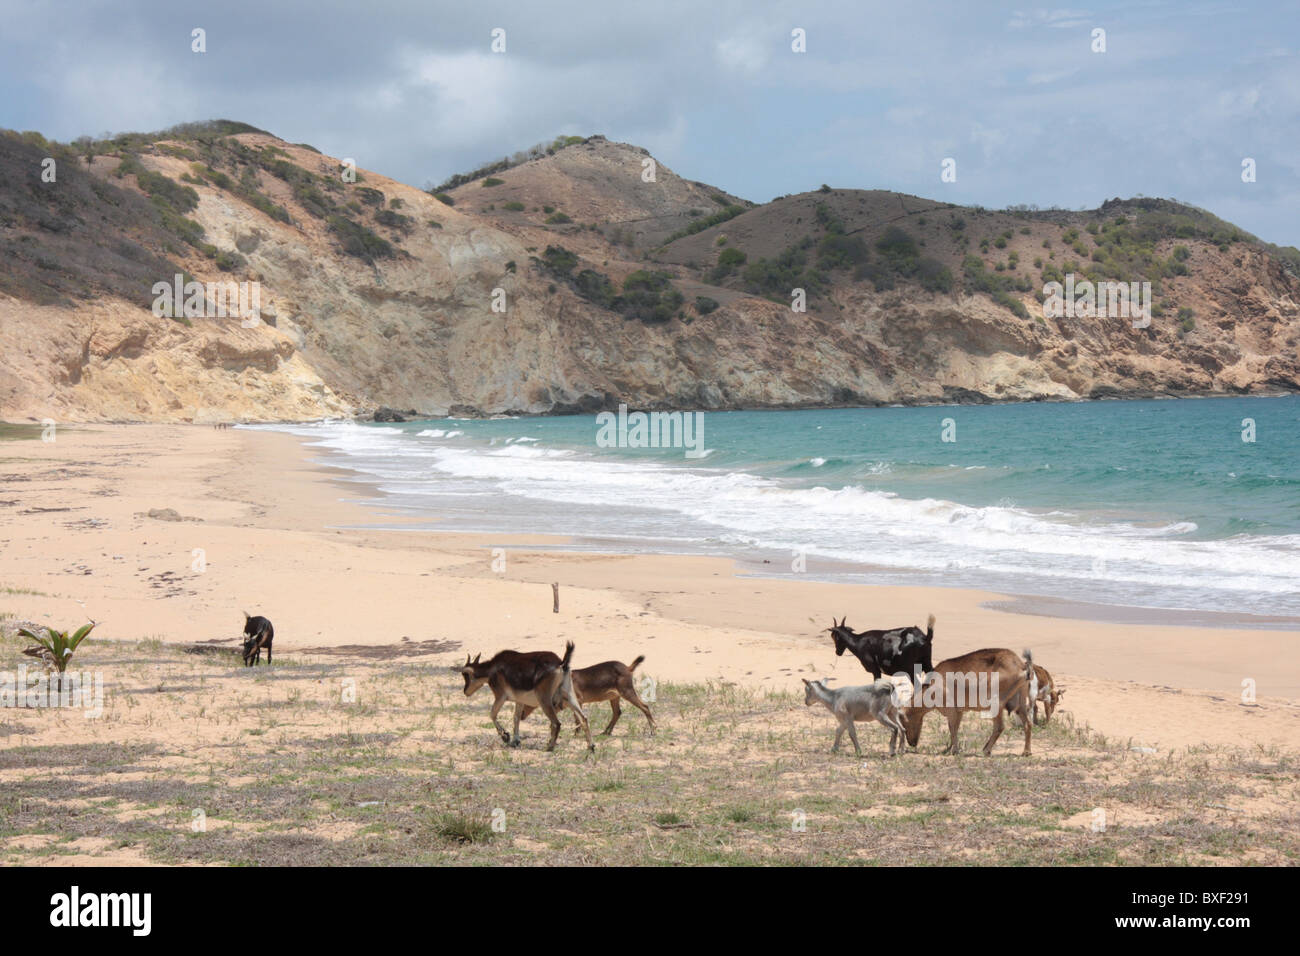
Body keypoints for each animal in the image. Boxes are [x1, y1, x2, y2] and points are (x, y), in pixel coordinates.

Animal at [459, 642, 594, 752]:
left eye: (466, 675)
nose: (466, 692)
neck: (494, 668)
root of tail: (561, 664)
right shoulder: (519, 701)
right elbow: (516, 718)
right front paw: (515, 741)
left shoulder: (500, 696)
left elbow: (492, 714)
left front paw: (505, 736)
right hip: (569, 696)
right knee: (584, 718)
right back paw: (591, 746)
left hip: (544, 700)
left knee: (556, 723)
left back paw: (550, 747)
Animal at [519, 655, 655, 736]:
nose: (521, 716)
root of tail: (628, 668)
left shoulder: (578, 701)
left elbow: (578, 717)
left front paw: (576, 734)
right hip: (614, 697)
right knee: (617, 712)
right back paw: (606, 732)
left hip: (627, 691)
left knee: (645, 707)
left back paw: (653, 730)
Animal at [901, 649, 1035, 756]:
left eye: (904, 724)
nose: (912, 743)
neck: (933, 686)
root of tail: (1022, 667)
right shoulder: (959, 711)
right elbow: (955, 728)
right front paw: (948, 749)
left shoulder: (951, 710)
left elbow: (952, 729)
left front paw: (954, 751)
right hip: (1020, 702)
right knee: (1027, 724)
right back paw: (1026, 752)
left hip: (996, 702)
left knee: (999, 727)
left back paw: (986, 750)